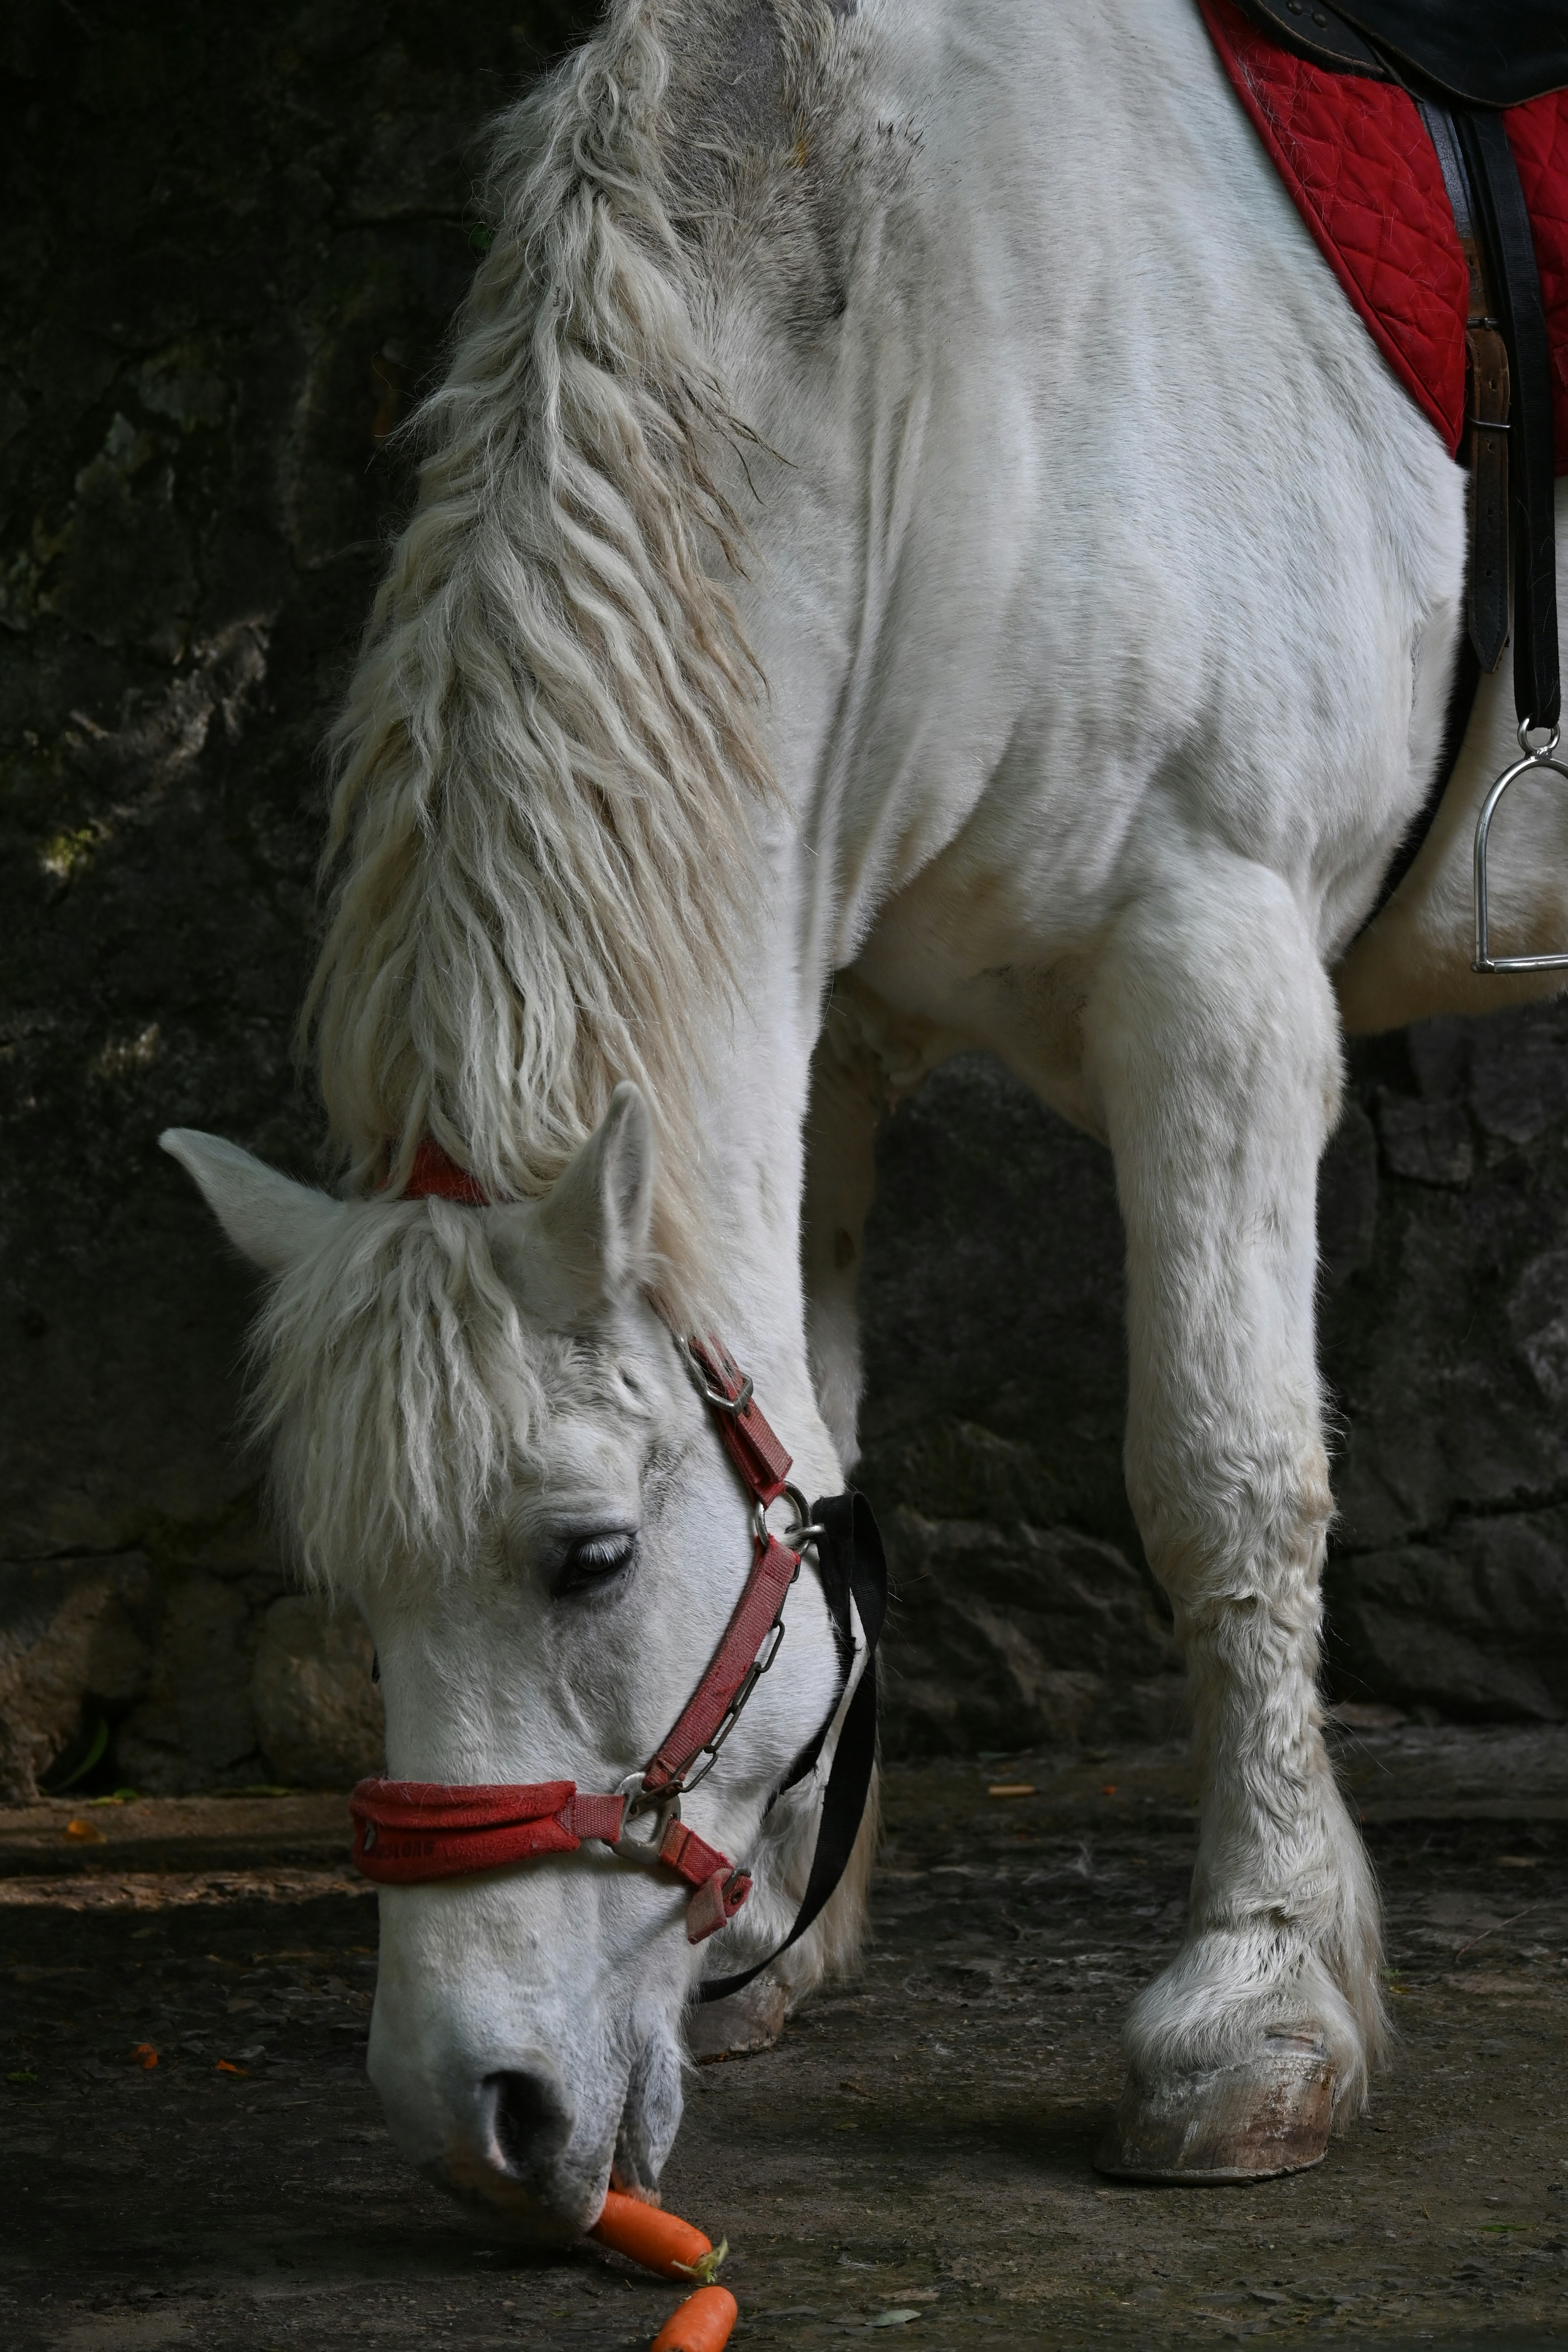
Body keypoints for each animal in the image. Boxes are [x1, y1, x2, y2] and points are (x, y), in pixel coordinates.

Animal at [160, 0, 1568, 2230]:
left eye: (585, 1558)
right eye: (351, 1586)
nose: (479, 2118)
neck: (951, 343)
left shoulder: (1216, 969)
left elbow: (1226, 1475)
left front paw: (1259, 2007)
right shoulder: (821, 1039)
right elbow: (824, 1430)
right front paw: (777, 1935)